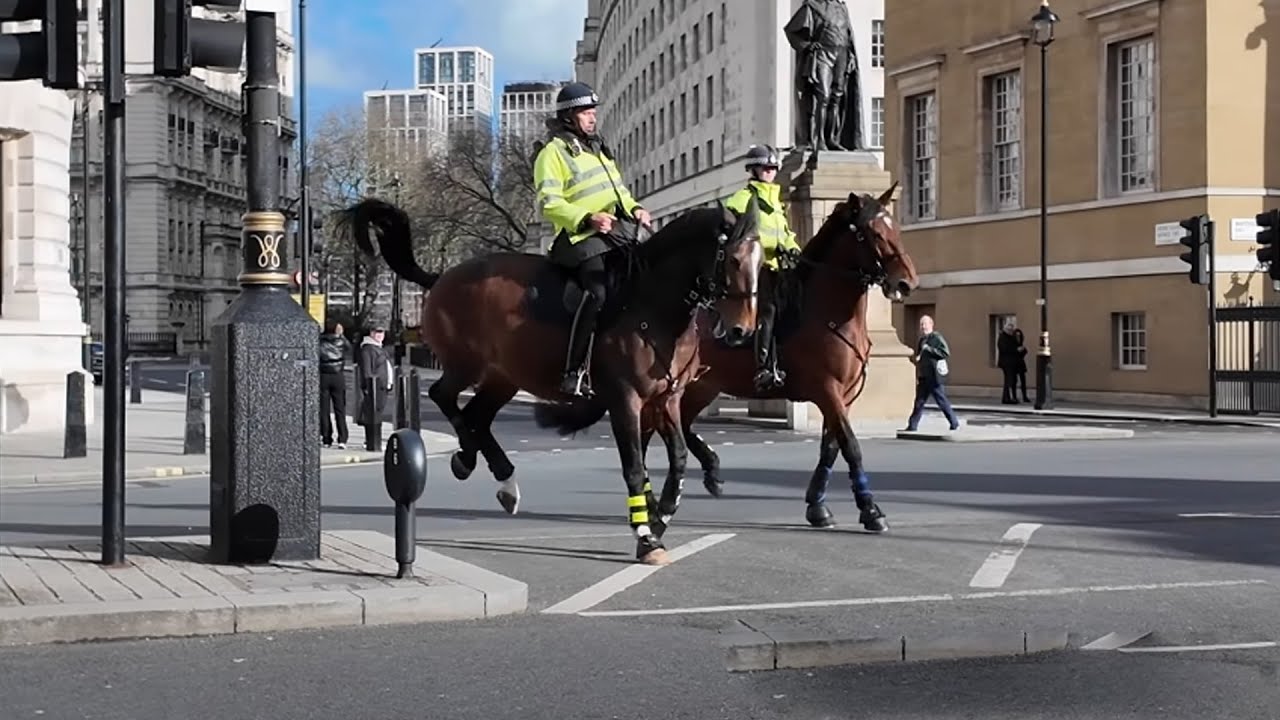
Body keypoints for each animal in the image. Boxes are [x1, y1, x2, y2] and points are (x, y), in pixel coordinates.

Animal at [337, 196, 766, 565]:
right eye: (732, 259)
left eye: (762, 260)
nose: (742, 330)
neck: (651, 306)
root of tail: (442, 277)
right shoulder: (624, 399)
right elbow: (633, 466)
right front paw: (646, 536)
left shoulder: (666, 399)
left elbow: (676, 459)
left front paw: (659, 517)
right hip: (467, 366)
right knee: (444, 396)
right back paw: (467, 457)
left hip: (503, 376)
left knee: (477, 416)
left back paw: (502, 479)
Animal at [639, 183, 920, 533]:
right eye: (874, 233)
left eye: (895, 229)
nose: (907, 282)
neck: (826, 310)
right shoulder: (827, 390)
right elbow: (851, 446)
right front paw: (870, 510)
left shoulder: (844, 396)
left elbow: (830, 447)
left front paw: (817, 505)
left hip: (701, 387)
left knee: (682, 426)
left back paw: (711, 472)